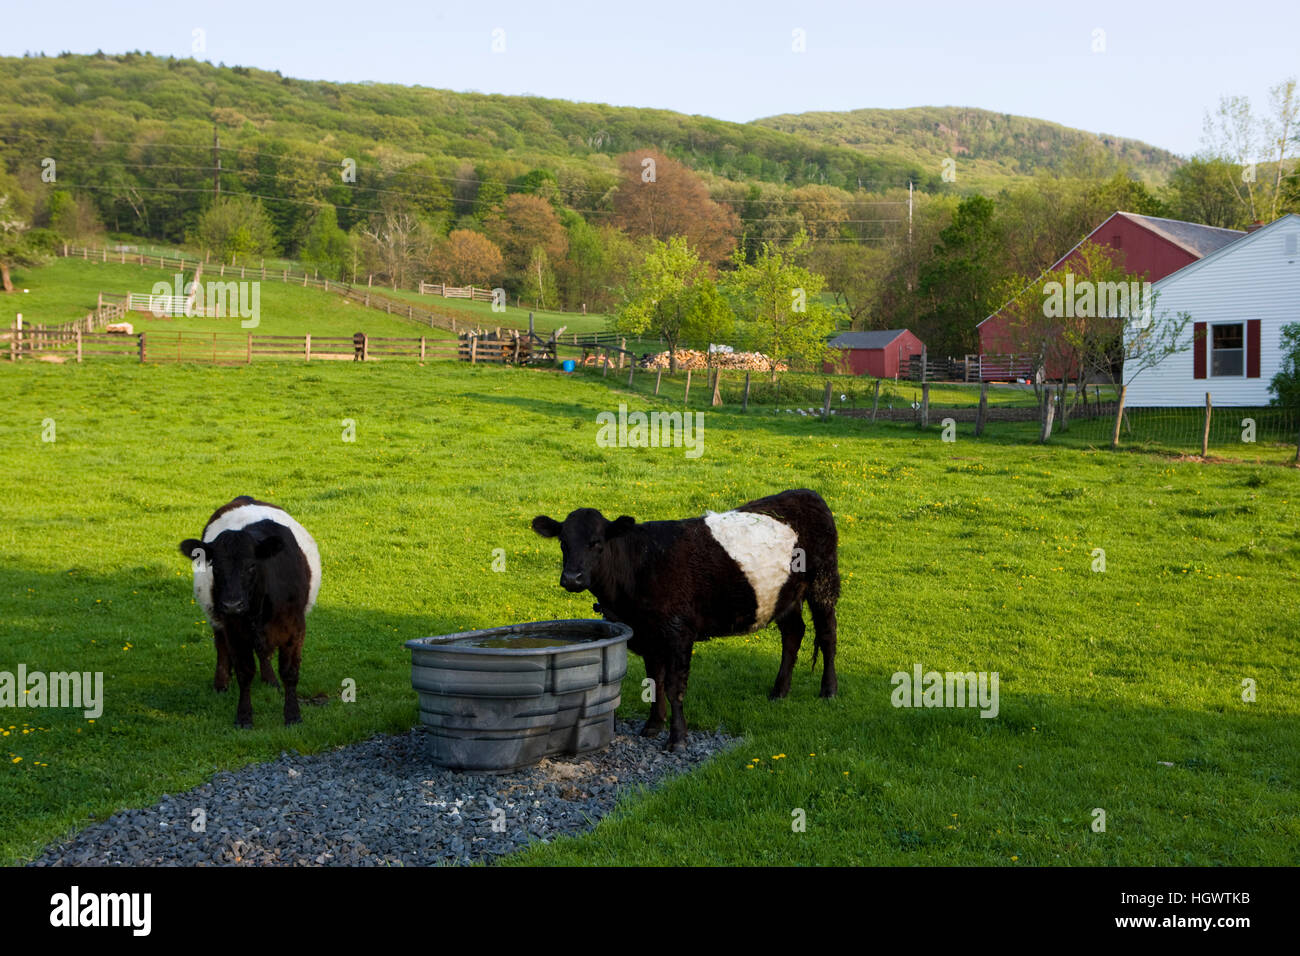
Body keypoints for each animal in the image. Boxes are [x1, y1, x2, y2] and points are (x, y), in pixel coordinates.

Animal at [179, 496, 321, 728]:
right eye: (215, 567)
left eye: (252, 566)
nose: (232, 604)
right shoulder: (235, 629)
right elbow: (244, 672)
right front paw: (244, 717)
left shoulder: (295, 627)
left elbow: (290, 672)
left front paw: (293, 715)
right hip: (217, 618)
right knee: (221, 646)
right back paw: (221, 684)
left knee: (263, 652)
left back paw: (270, 680)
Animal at [532, 488, 839, 750]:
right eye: (563, 543)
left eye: (596, 543)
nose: (572, 578)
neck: (638, 565)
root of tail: (807, 493)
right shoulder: (648, 634)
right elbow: (654, 680)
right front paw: (653, 725)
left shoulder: (678, 632)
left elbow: (673, 686)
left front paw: (677, 737)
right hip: (785, 596)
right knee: (793, 634)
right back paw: (779, 691)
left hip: (823, 581)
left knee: (826, 635)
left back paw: (828, 690)